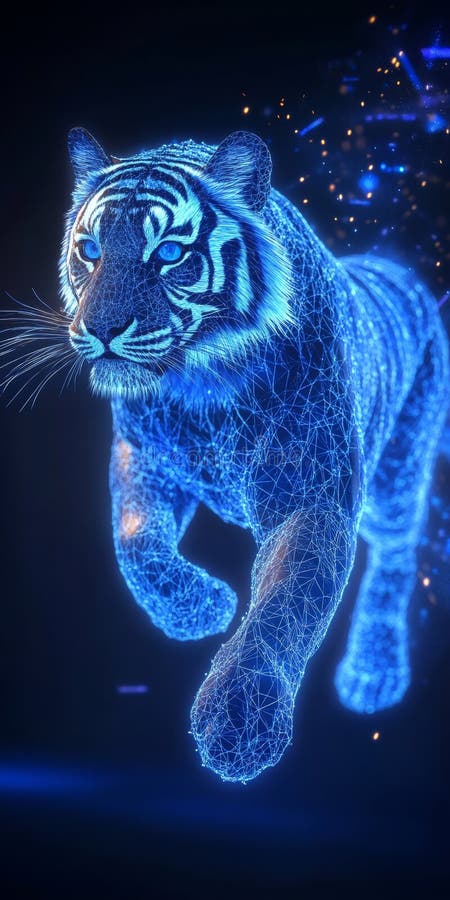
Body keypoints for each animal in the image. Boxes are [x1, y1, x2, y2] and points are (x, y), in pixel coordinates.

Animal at [60, 127, 449, 783]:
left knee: (397, 553)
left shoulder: (312, 494)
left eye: (169, 253)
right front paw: (199, 610)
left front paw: (241, 720)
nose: (101, 329)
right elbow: (135, 544)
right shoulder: (142, 458)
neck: (201, 388)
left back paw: (372, 672)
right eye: (89, 250)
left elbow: (286, 602)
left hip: (397, 470)